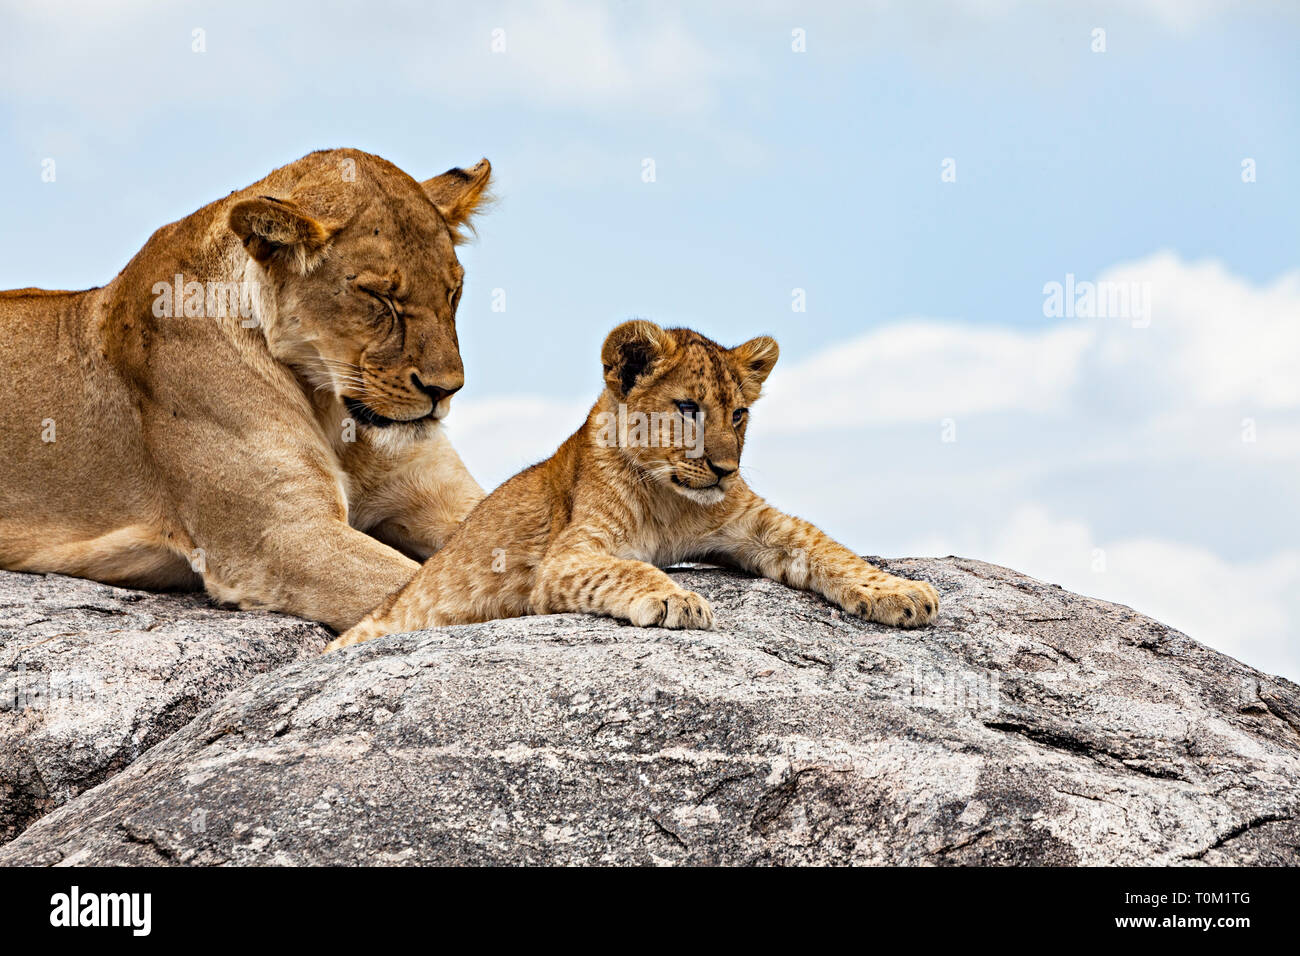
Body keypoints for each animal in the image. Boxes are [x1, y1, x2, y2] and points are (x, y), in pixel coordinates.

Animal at [326, 320, 939, 650]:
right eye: (688, 409)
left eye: (739, 414)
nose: (726, 469)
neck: (672, 502)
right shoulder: (566, 558)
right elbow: (628, 568)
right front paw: (676, 599)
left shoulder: (756, 524)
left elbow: (826, 547)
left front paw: (902, 592)